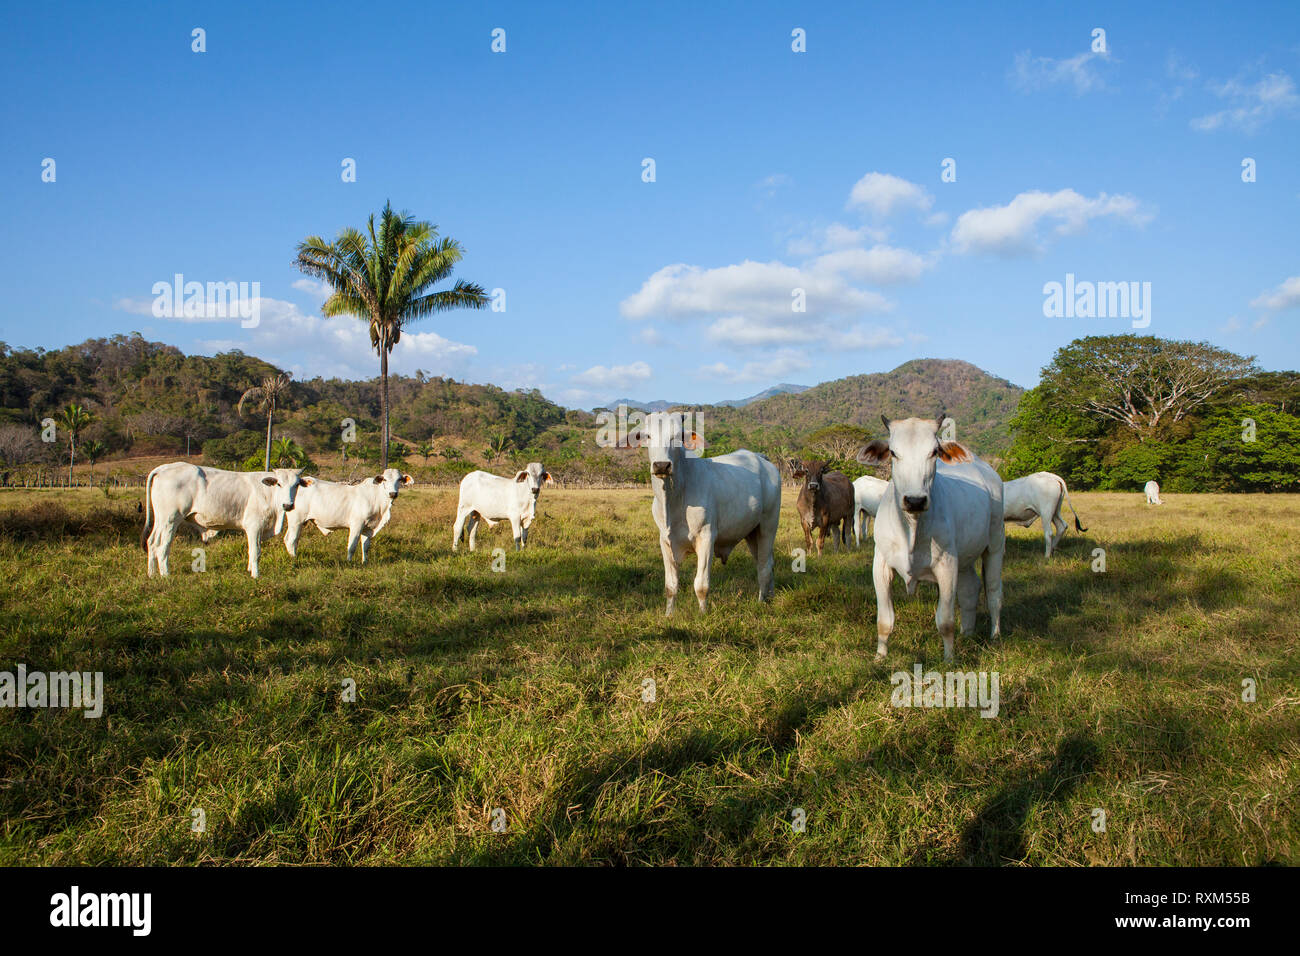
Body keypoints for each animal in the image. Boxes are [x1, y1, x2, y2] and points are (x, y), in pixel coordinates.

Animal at [141, 463, 311, 578]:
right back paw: (165, 574)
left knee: (152, 542)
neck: (269, 493)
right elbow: (255, 551)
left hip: (161, 520)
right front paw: (256, 575)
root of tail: (163, 468)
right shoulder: (254, 526)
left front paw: (250, 569)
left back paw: (151, 574)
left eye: (297, 485)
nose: (288, 505)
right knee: (163, 546)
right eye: (279, 484)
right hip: (170, 520)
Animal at [283, 468, 414, 562]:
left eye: (399, 480)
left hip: (298, 522)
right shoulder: (357, 524)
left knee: (291, 539)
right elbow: (352, 546)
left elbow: (365, 546)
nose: (393, 493)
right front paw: (349, 562)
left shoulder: (368, 528)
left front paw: (364, 562)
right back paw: (294, 559)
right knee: (291, 540)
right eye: (385, 480)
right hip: (296, 521)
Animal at [627, 412, 780, 614]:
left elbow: (701, 585)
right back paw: (770, 596)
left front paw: (702, 614)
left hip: (768, 526)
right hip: (752, 532)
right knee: (767, 562)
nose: (661, 465)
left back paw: (761, 601)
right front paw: (668, 615)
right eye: (648, 436)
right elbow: (670, 586)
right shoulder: (665, 541)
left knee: (764, 566)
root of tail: (762, 459)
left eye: (678, 436)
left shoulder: (706, 537)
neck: (674, 499)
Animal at [857, 414, 1004, 662]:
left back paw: (994, 636)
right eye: (893, 452)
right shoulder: (881, 565)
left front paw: (949, 660)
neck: (911, 529)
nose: (915, 500)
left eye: (934, 451)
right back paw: (967, 633)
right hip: (965, 558)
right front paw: (880, 657)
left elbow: (945, 622)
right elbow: (884, 620)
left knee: (993, 592)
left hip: (995, 545)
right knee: (970, 588)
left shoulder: (947, 565)